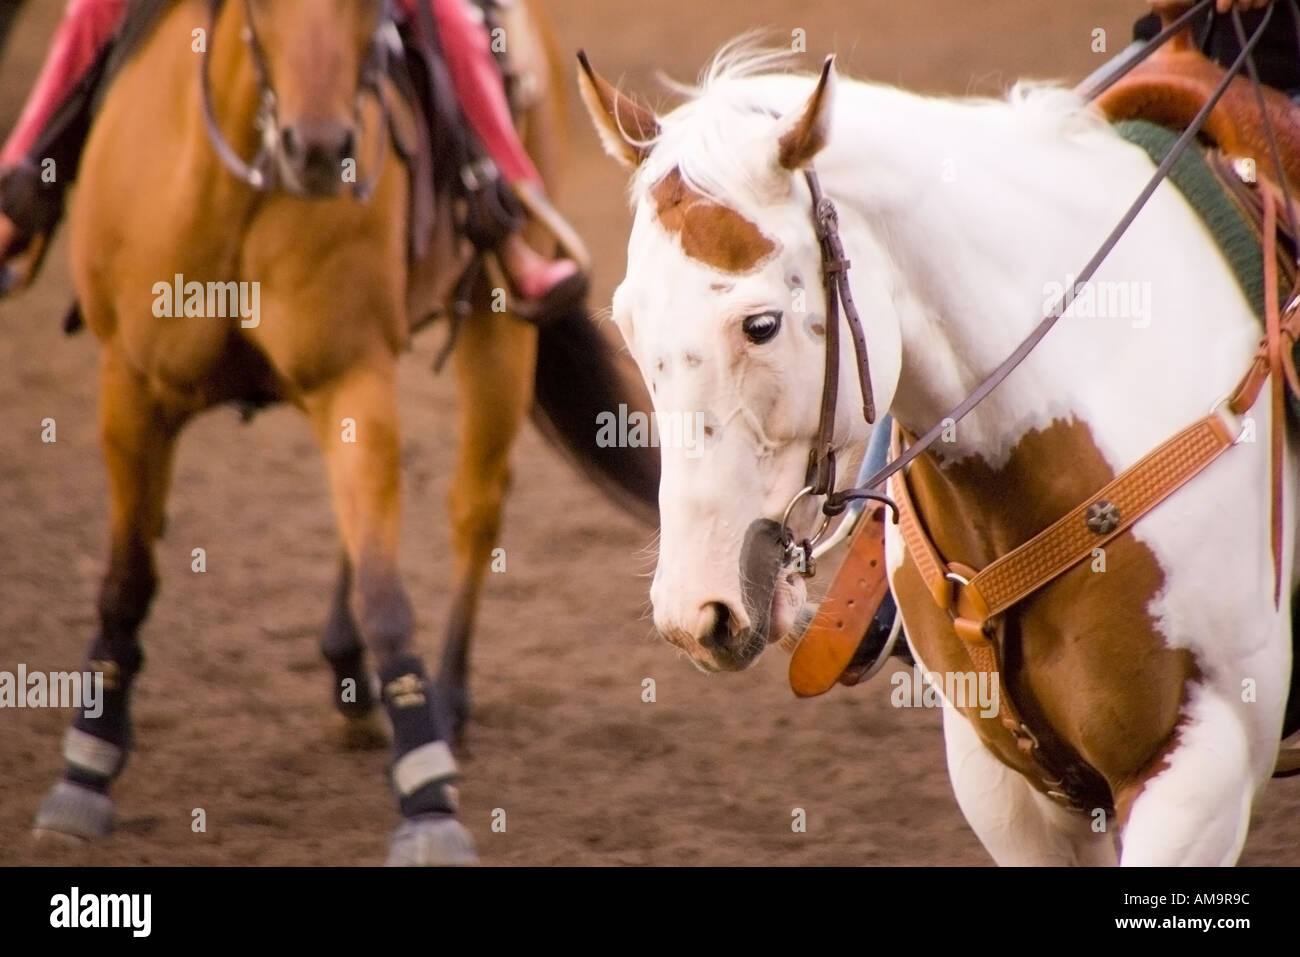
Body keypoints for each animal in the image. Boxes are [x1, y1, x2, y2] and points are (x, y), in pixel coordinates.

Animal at [24, 0, 656, 865]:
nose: (321, 151)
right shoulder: (132, 385)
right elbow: (127, 578)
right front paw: (86, 764)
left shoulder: (350, 376)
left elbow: (389, 594)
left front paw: (427, 793)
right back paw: (347, 668)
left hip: (501, 321)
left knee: (475, 504)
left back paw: (448, 696)